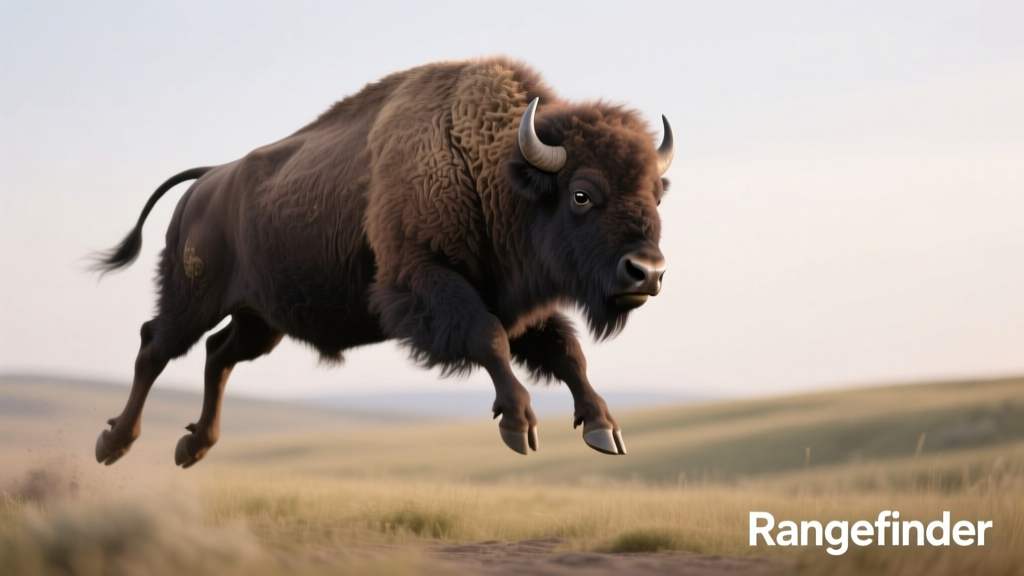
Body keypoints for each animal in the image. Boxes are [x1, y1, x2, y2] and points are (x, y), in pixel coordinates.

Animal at [93, 57, 672, 467]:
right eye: (581, 194)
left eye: (656, 194)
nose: (647, 272)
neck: (490, 171)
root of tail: (208, 180)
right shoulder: (424, 279)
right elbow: (489, 339)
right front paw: (518, 424)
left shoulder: (518, 301)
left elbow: (567, 353)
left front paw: (604, 428)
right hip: (194, 300)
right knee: (155, 347)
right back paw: (114, 443)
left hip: (260, 320)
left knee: (219, 355)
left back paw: (192, 448)